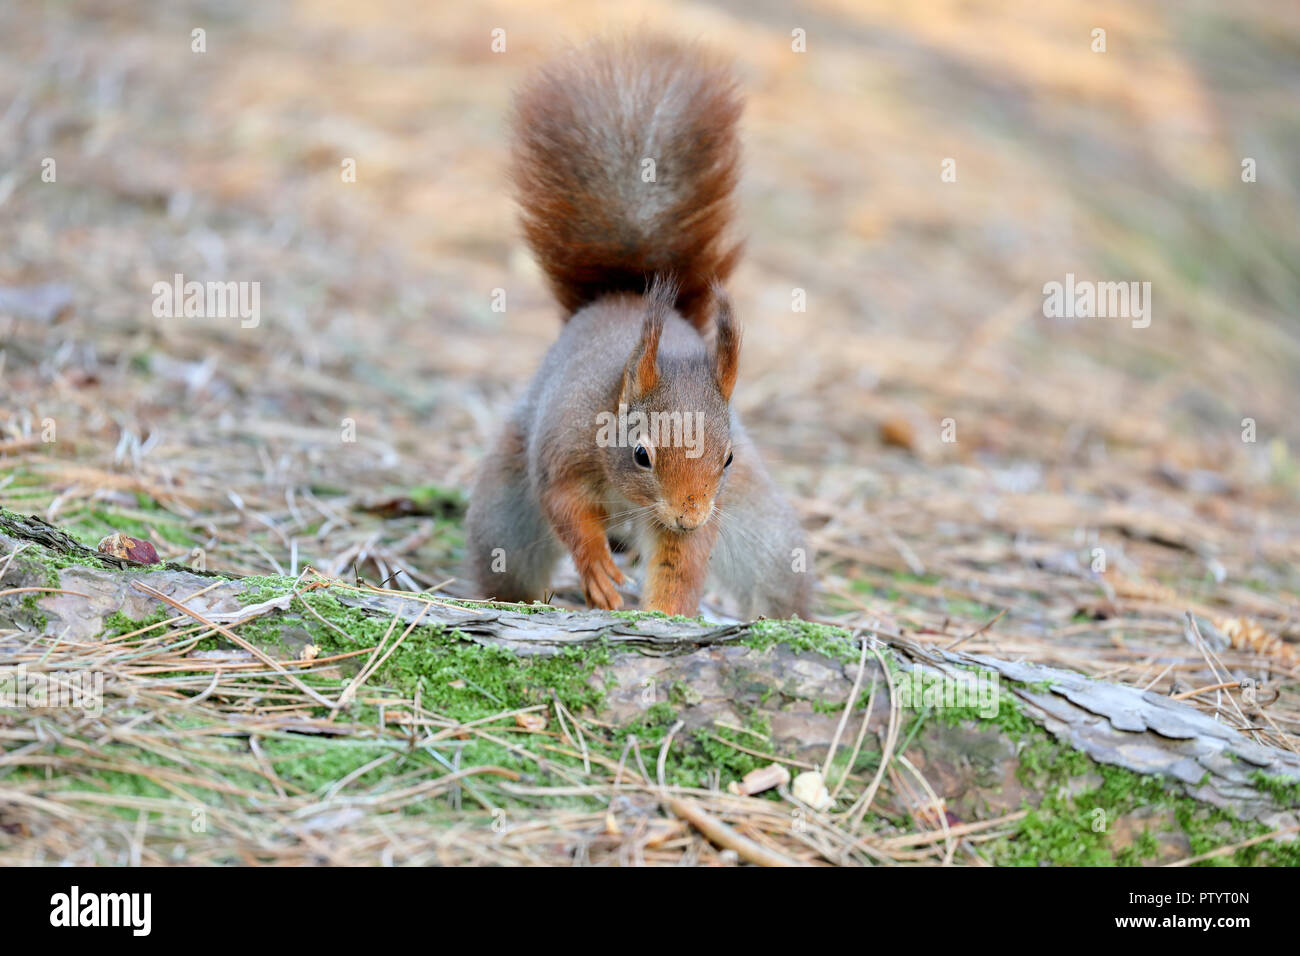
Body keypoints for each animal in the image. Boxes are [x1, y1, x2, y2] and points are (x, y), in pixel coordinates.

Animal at [464, 36, 811, 619]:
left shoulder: (707, 510)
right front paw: (598, 573)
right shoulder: (562, 451)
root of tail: (622, 294)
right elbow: (566, 510)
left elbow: (680, 564)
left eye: (728, 457)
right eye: (642, 454)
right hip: (505, 514)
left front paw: (668, 616)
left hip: (766, 535)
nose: (688, 513)